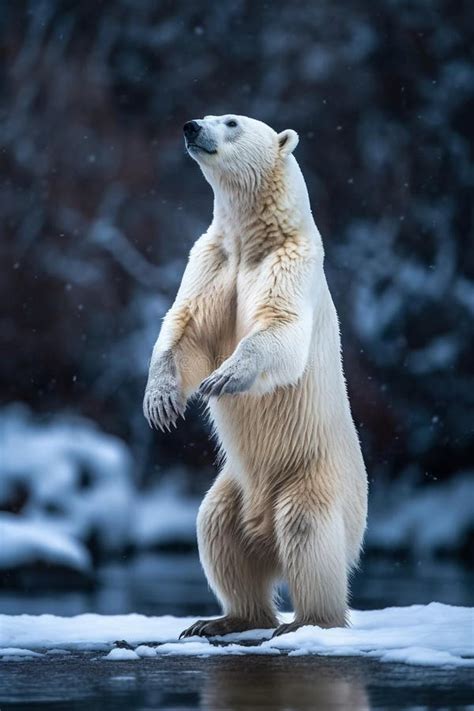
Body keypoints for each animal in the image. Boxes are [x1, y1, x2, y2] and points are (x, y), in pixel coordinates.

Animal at [143, 114, 368, 638]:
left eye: (232, 122)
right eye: (209, 114)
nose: (191, 126)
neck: (254, 242)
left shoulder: (291, 264)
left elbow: (279, 329)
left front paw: (224, 378)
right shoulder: (213, 260)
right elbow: (187, 329)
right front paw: (161, 401)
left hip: (314, 473)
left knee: (307, 528)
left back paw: (310, 621)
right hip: (236, 484)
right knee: (216, 527)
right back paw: (222, 620)